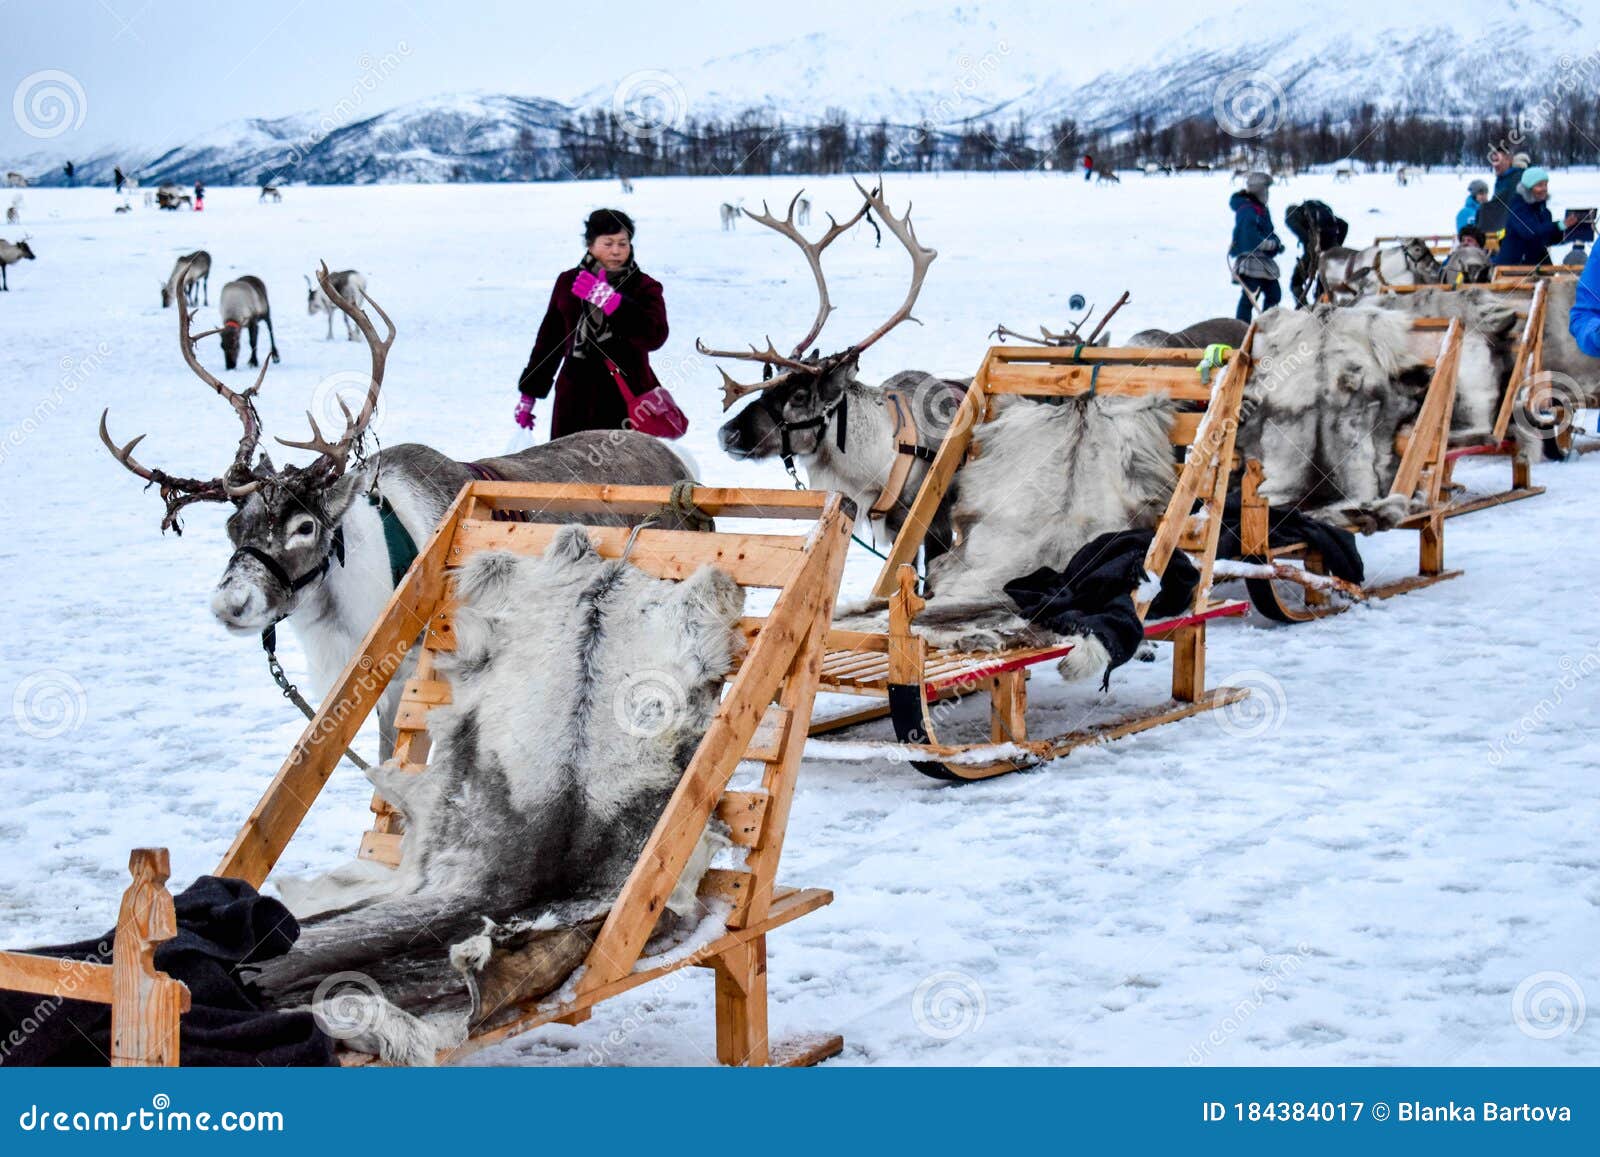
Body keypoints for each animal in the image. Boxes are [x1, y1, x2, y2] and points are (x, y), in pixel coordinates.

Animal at [99, 265, 697, 761]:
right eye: (231, 527)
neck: (360, 610)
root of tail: (680, 462)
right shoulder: (376, 694)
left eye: (305, 526)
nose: (230, 604)